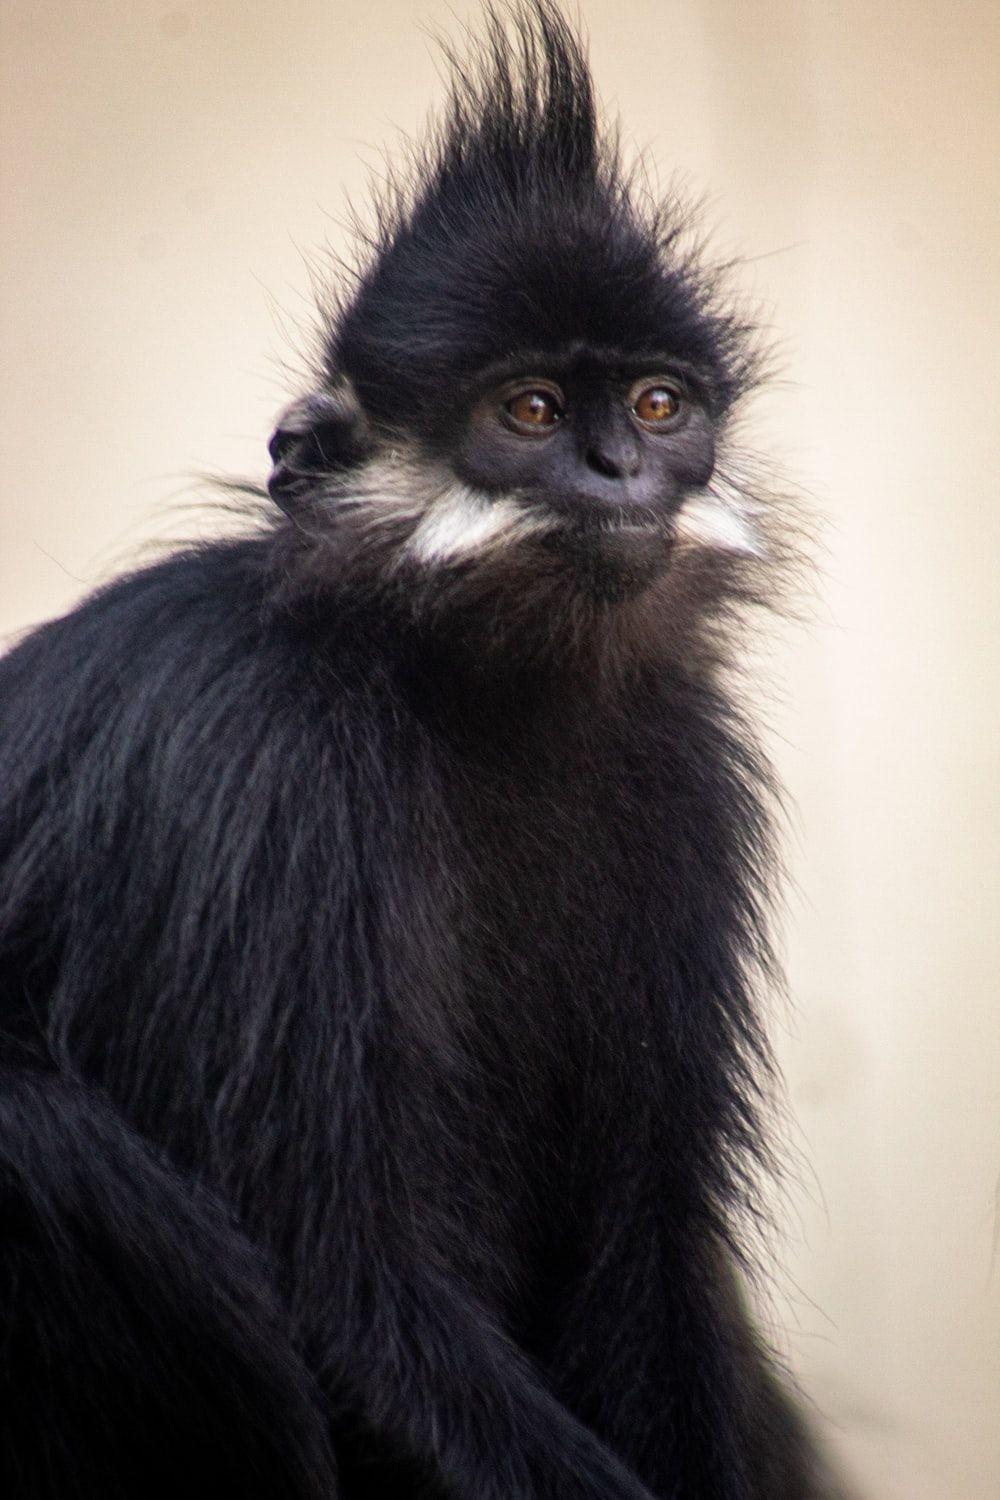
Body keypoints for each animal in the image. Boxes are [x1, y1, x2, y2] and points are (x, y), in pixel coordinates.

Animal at [0, 5, 848, 1498]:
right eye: (529, 413)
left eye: (657, 405)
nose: (620, 473)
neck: (470, 695)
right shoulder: (263, 762)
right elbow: (347, 1299)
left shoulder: (686, 776)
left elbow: (647, 1265)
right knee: (37, 1141)